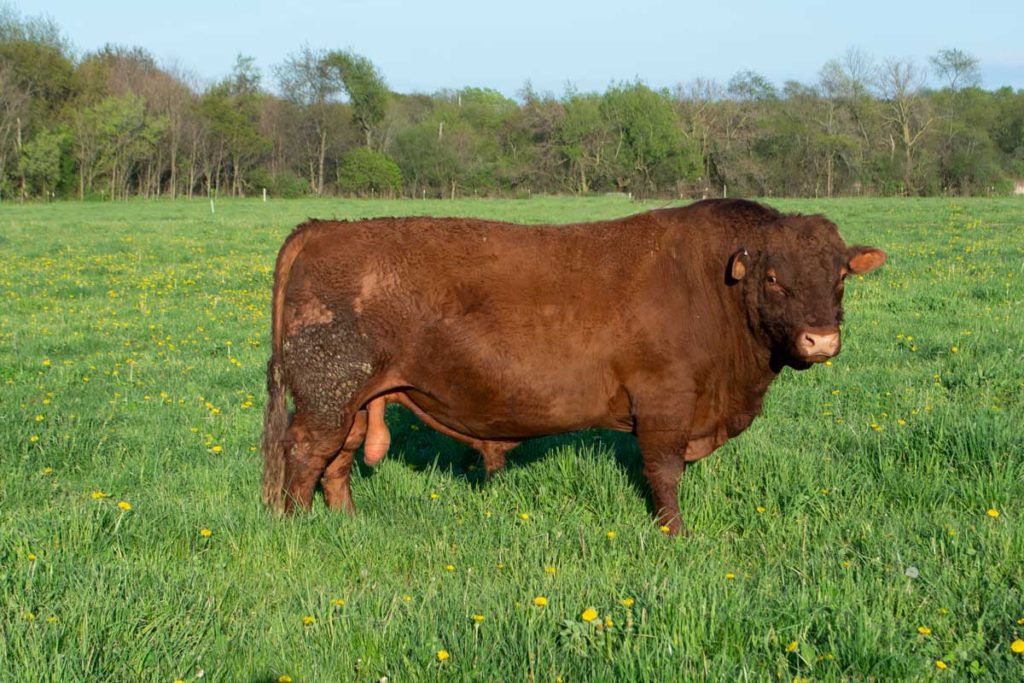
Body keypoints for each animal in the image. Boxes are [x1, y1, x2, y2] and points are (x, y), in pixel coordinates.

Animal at [261, 199, 886, 534]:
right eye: (773, 277)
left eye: (840, 275)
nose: (821, 339)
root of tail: (326, 227)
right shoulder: (664, 405)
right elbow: (664, 474)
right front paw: (675, 534)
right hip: (327, 396)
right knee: (304, 455)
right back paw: (297, 527)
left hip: (355, 399)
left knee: (337, 462)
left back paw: (347, 523)